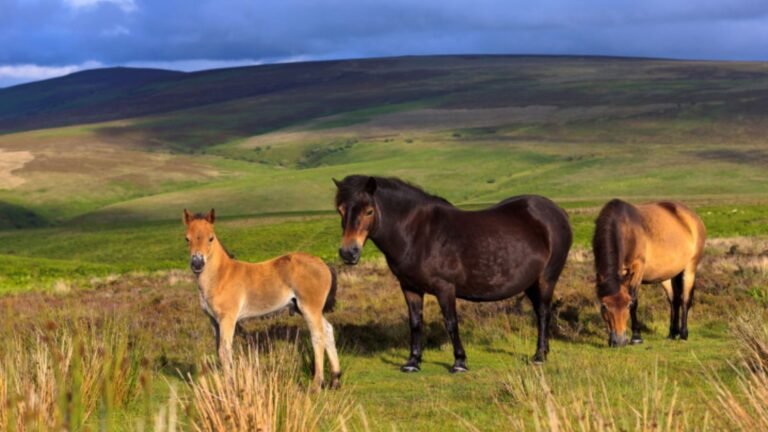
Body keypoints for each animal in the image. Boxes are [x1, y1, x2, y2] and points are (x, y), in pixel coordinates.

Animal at [183, 209, 341, 390]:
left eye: (211, 238)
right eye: (187, 238)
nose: (197, 264)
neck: (221, 276)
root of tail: (324, 264)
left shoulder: (227, 319)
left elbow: (225, 351)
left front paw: (230, 386)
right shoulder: (214, 321)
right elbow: (219, 351)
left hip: (310, 308)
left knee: (317, 337)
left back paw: (316, 384)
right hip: (306, 309)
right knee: (328, 331)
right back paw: (335, 379)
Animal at [333, 175, 572, 372]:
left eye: (368, 211)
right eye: (341, 210)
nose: (348, 252)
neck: (418, 233)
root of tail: (557, 212)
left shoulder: (445, 287)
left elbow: (450, 322)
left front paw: (459, 362)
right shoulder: (409, 287)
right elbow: (415, 322)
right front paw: (413, 362)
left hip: (546, 278)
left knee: (543, 313)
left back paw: (539, 356)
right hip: (530, 282)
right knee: (540, 312)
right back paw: (543, 352)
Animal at [592, 199, 706, 347]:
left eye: (627, 305)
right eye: (604, 306)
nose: (619, 341)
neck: (625, 229)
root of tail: (693, 217)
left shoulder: (637, 269)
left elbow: (635, 299)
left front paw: (636, 337)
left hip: (690, 268)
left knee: (685, 300)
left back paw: (683, 334)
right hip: (667, 275)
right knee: (674, 300)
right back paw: (672, 333)